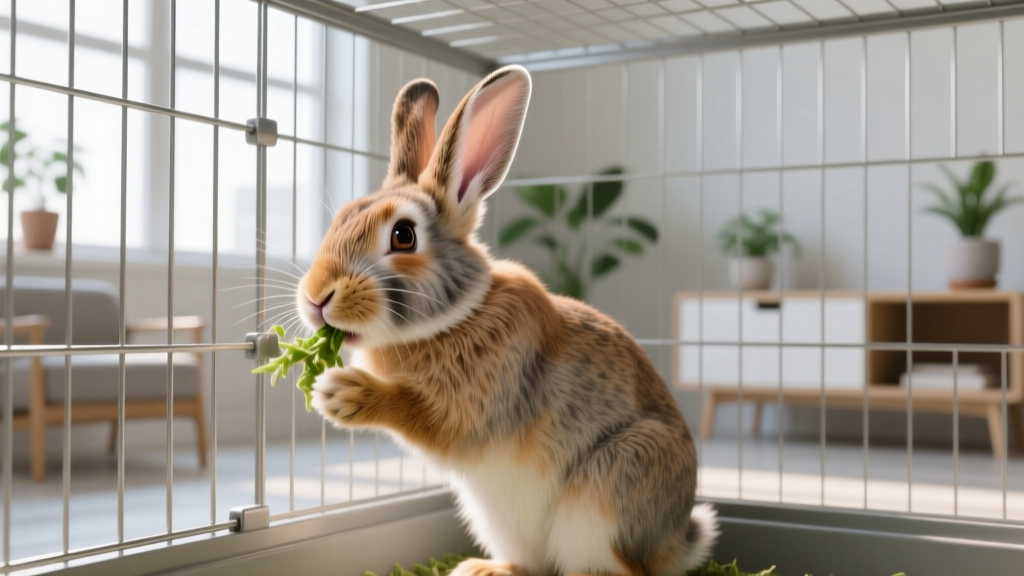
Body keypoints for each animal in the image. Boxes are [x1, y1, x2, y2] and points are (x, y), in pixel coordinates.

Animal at [301, 64, 718, 576]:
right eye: (340, 218)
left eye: (403, 236)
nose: (315, 297)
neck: (457, 317)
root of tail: (676, 542)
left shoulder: (480, 401)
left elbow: (425, 415)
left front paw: (340, 393)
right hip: (503, 522)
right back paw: (480, 569)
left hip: (610, 486)